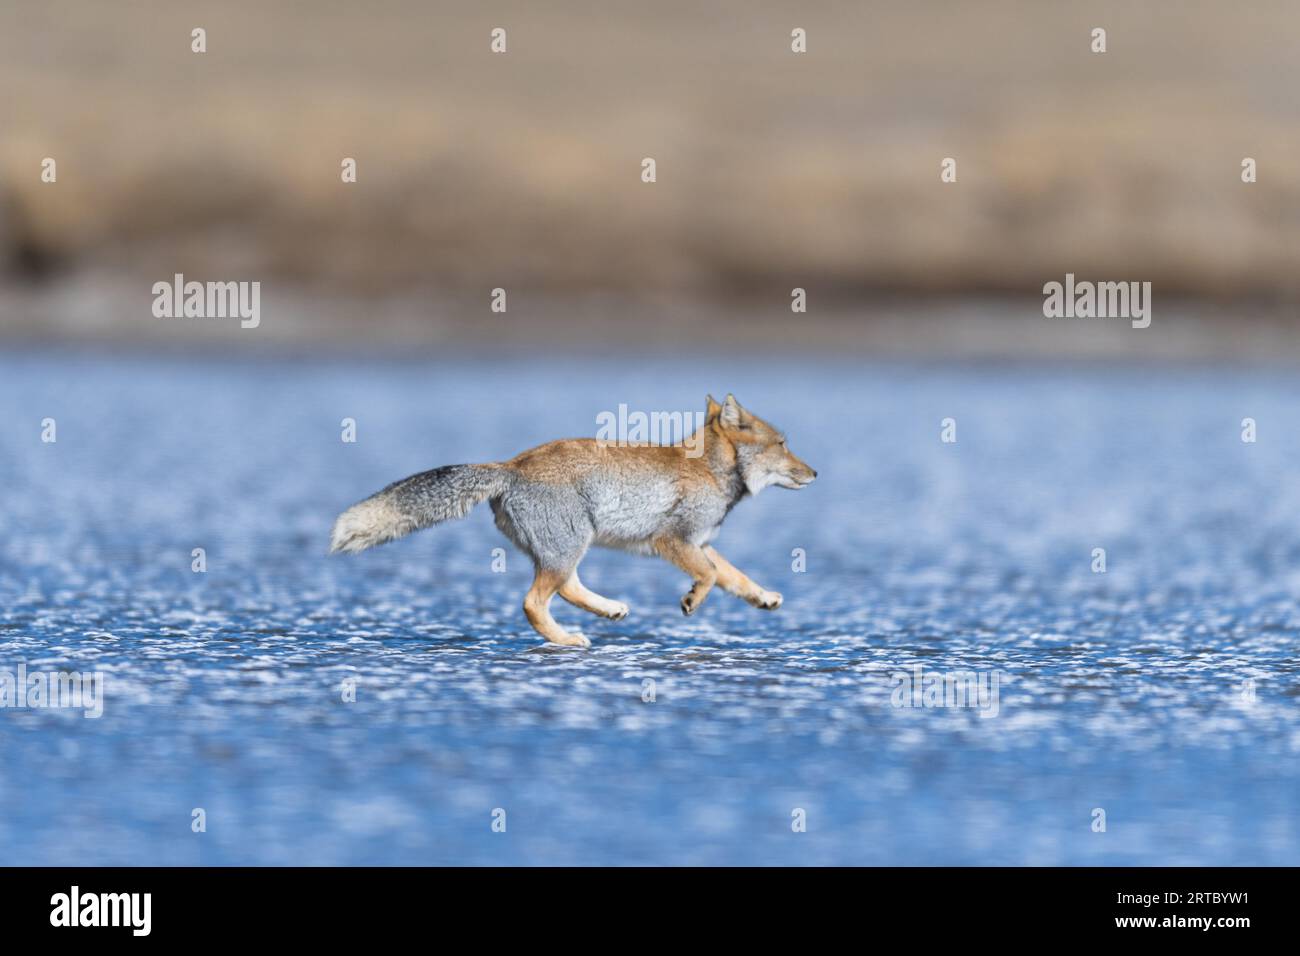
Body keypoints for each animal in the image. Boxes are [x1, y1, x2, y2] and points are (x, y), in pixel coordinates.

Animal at [329, 394, 816, 648]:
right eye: (783, 444)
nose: (814, 473)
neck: (712, 469)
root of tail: (511, 465)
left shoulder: (700, 543)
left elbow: (736, 577)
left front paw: (763, 597)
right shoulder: (673, 541)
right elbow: (712, 577)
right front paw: (692, 600)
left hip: (566, 549)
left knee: (565, 589)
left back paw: (607, 611)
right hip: (570, 546)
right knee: (534, 602)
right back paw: (566, 640)